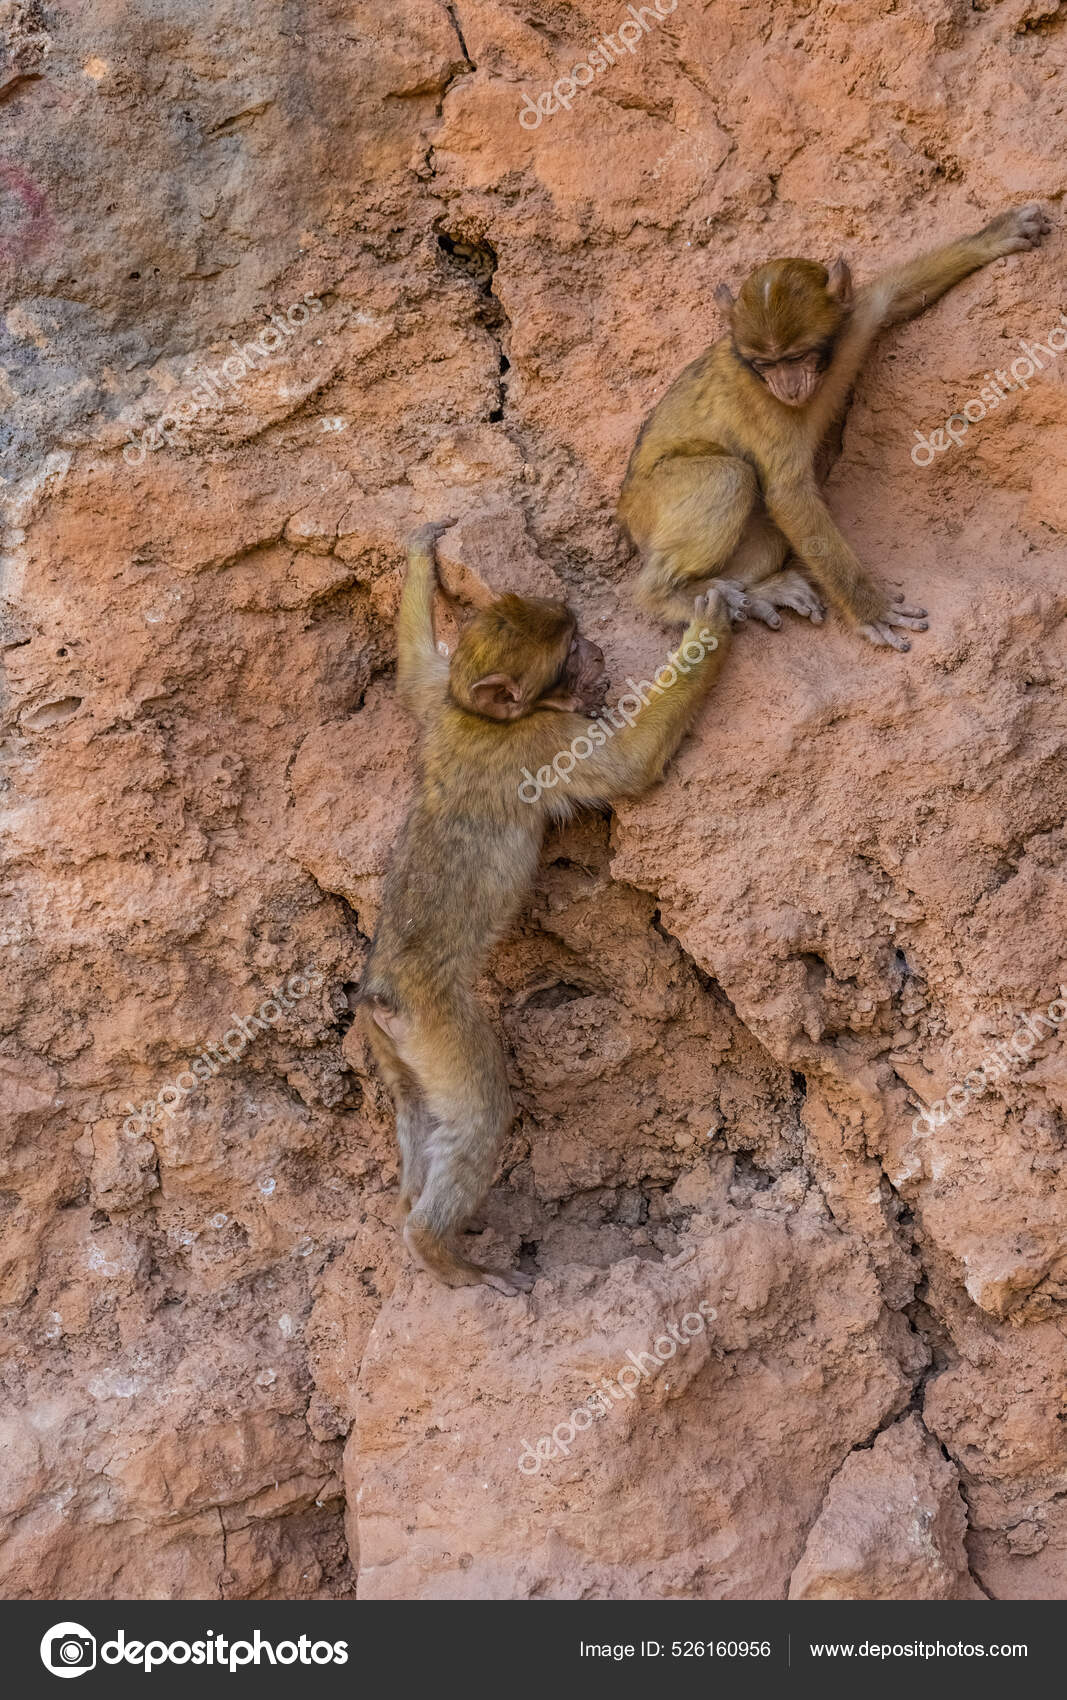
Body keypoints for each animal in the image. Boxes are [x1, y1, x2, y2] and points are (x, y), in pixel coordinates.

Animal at [359, 519, 757, 1294]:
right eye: (571, 653)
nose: (597, 652)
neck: (477, 715)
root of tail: (383, 994)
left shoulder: (439, 699)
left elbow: (415, 669)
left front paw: (422, 555)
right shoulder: (544, 742)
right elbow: (630, 767)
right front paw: (707, 627)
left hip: (393, 1049)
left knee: (417, 1115)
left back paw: (411, 1213)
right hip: (440, 1028)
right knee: (478, 1114)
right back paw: (437, 1246)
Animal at [618, 203, 1051, 650]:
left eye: (795, 357)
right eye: (765, 365)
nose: (788, 387)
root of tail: (626, 513)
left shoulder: (853, 320)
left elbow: (896, 292)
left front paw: (997, 235)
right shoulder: (762, 403)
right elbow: (789, 496)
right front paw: (871, 610)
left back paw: (756, 592)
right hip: (652, 501)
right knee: (730, 476)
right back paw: (666, 598)